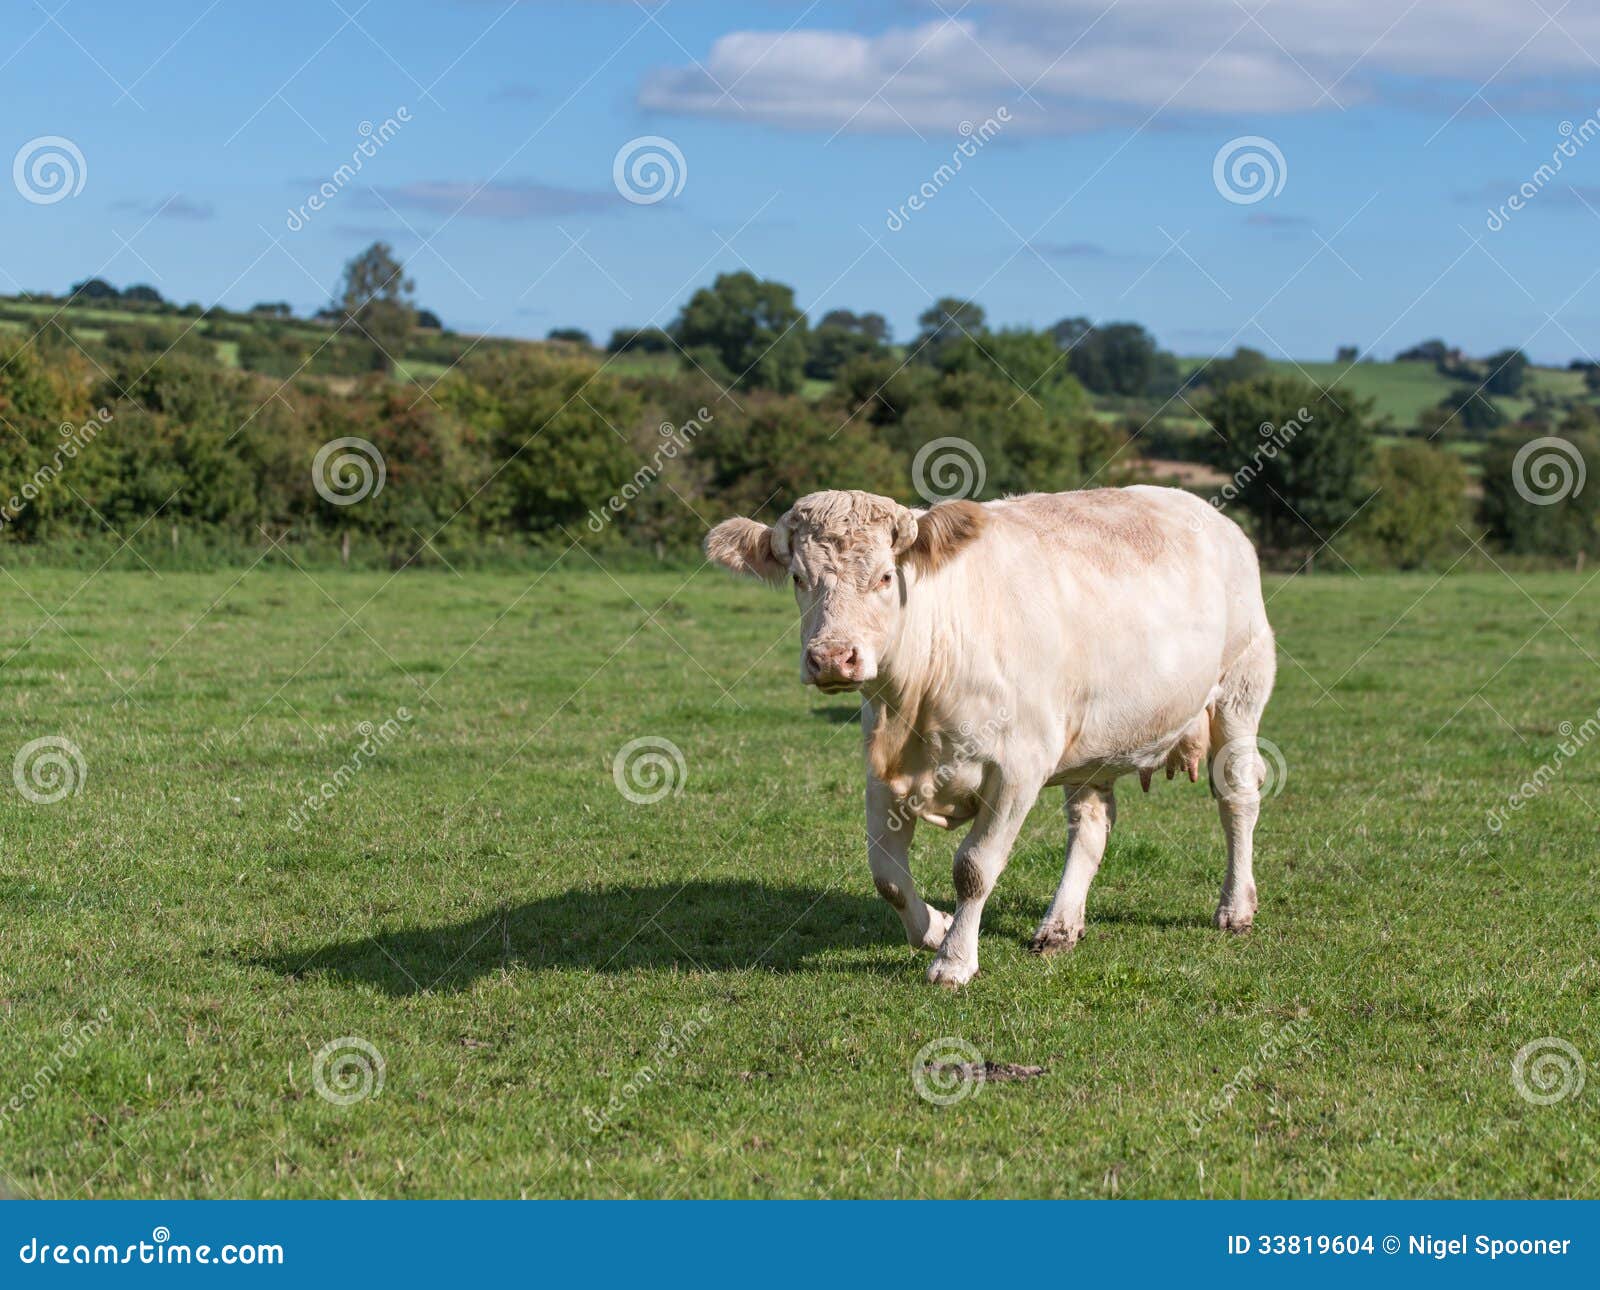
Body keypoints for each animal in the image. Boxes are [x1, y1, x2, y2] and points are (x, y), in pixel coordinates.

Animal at [705, 486, 1276, 987]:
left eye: (887, 576)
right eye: (799, 577)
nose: (830, 658)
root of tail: (1212, 515)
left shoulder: (1017, 769)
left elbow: (974, 868)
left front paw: (954, 961)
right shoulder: (883, 773)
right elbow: (886, 874)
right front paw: (935, 928)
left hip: (1239, 694)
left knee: (1237, 798)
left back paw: (1235, 908)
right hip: (1094, 736)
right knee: (1091, 824)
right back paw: (1059, 926)